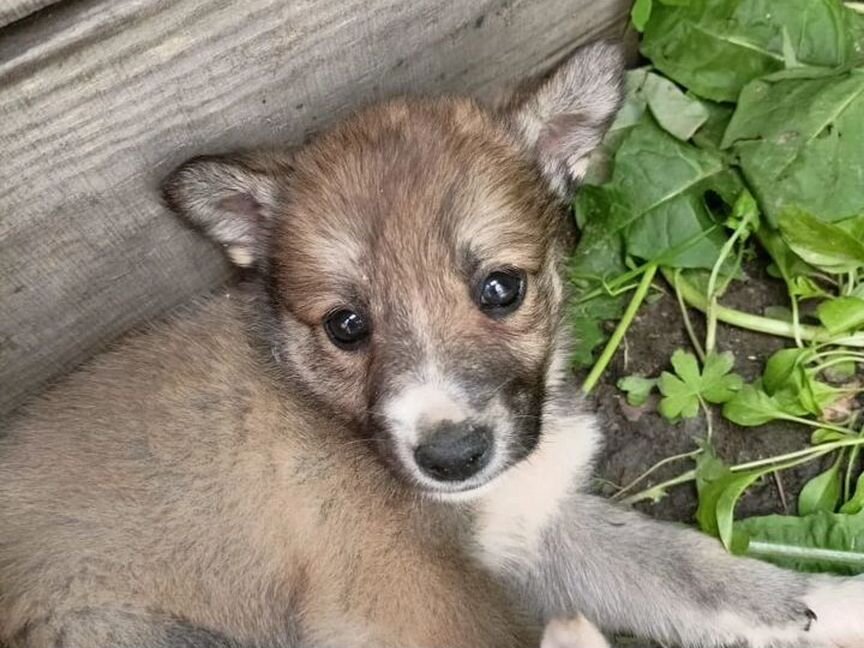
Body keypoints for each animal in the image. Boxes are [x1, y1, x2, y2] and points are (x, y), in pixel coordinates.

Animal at [1, 41, 864, 648]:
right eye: (347, 326)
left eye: (501, 289)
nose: (451, 458)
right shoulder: (403, 596)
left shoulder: (534, 521)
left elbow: (689, 570)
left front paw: (830, 603)